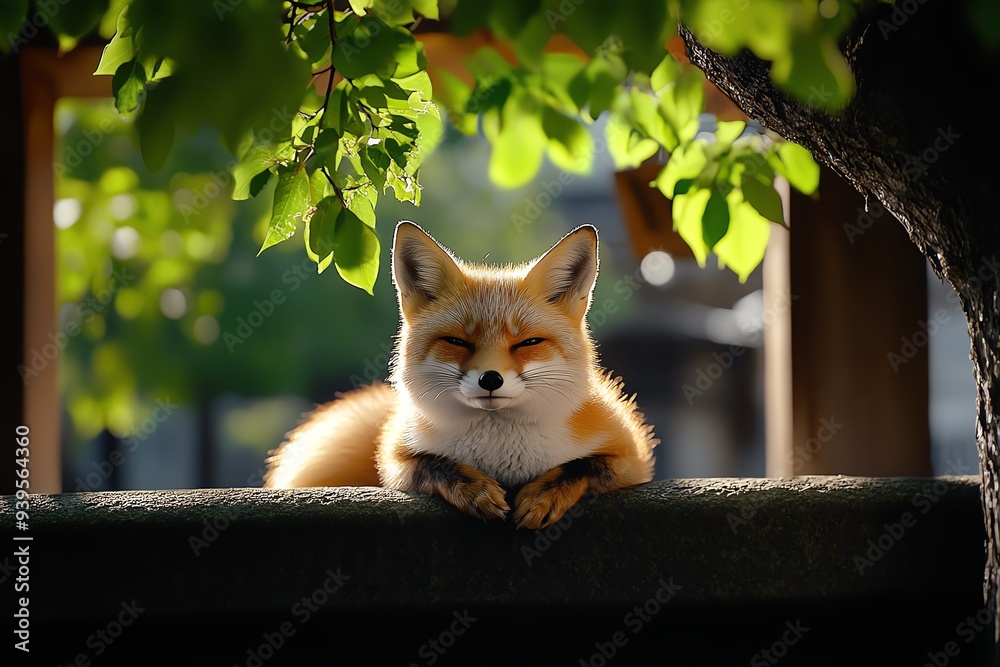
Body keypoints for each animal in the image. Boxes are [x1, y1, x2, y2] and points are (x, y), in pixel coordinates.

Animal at [263, 221, 658, 529]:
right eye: (457, 341)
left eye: (528, 342)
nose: (491, 380)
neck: (502, 457)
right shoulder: (396, 459)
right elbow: (437, 464)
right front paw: (476, 490)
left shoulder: (631, 457)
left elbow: (579, 466)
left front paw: (544, 496)